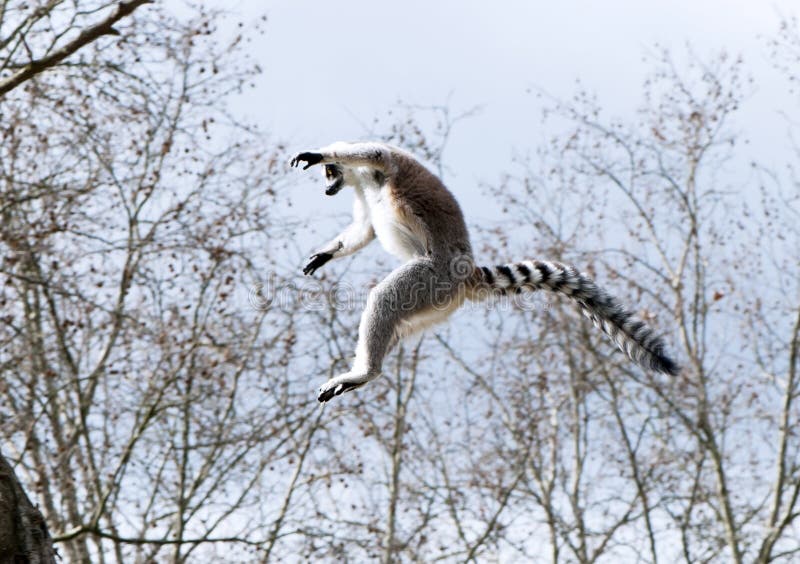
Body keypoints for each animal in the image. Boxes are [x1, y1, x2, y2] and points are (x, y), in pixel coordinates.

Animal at [290, 141, 679, 403]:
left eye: (328, 172)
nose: (328, 187)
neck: (362, 182)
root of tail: (466, 275)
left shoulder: (385, 161)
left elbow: (373, 154)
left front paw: (317, 154)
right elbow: (367, 228)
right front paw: (325, 255)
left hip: (432, 279)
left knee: (384, 299)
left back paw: (365, 371)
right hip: (433, 304)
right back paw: (362, 374)